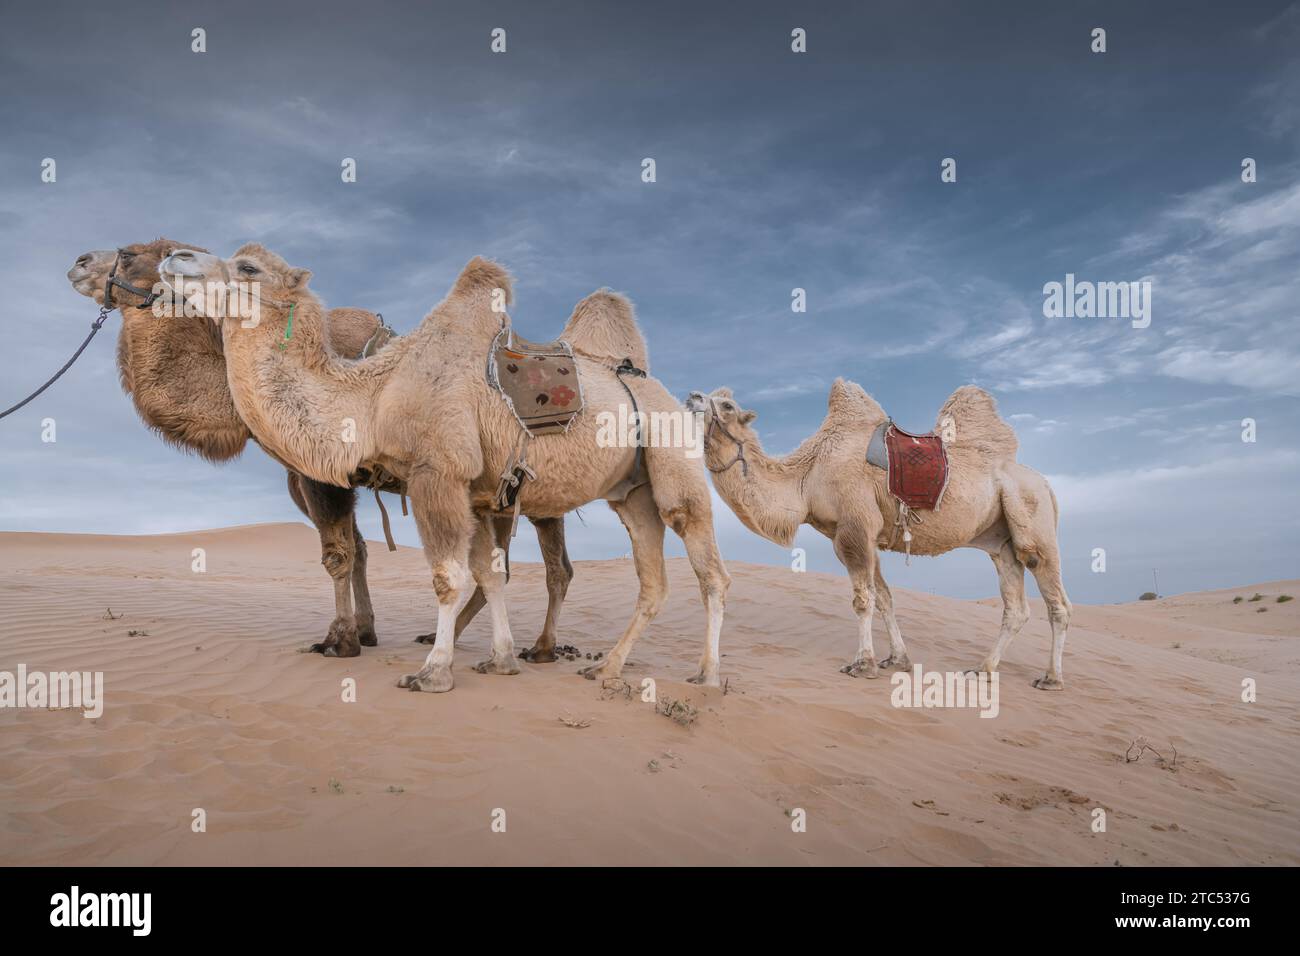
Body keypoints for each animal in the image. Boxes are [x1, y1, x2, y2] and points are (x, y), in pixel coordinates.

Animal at [66, 239, 576, 660]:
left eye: (129, 252)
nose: (79, 261)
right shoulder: (314, 475)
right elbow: (359, 549)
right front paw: (365, 631)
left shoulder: (320, 475)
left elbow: (338, 555)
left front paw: (340, 640)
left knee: (553, 569)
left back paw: (543, 648)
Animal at [159, 244, 729, 693]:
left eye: (248, 266)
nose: (174, 255)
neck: (374, 398)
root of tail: (668, 395)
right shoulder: (476, 492)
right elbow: (489, 574)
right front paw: (501, 660)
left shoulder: (439, 473)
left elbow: (447, 577)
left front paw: (433, 672)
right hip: (631, 493)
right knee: (652, 581)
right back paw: (606, 669)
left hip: (673, 463)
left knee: (708, 567)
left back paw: (707, 675)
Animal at [686, 380, 1071, 690]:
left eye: (727, 405)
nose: (692, 397)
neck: (807, 477)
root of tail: (1048, 485)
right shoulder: (857, 537)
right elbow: (885, 597)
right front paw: (897, 659)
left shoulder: (855, 529)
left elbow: (862, 600)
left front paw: (863, 664)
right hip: (1001, 542)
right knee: (1016, 607)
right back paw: (983, 669)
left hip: (1032, 517)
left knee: (1056, 600)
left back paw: (1051, 678)